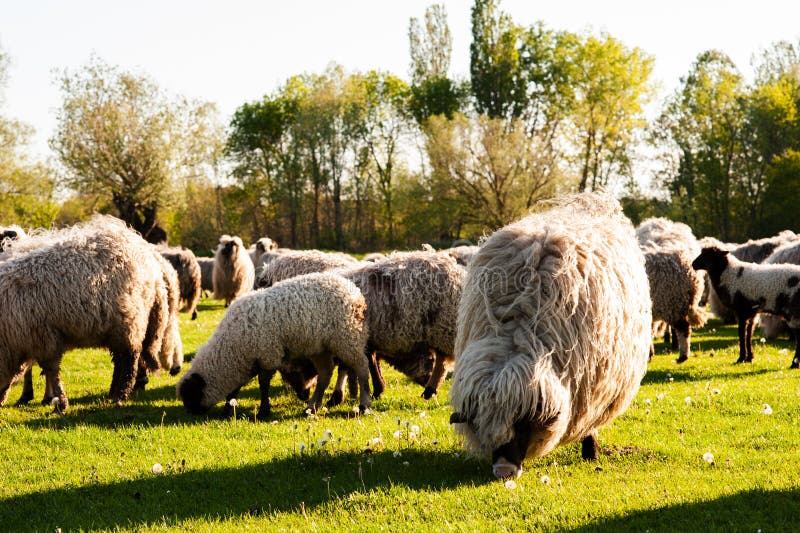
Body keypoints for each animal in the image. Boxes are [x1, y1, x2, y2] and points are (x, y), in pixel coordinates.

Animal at [0, 216, 176, 412]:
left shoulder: (44, 338)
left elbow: (51, 370)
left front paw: (60, 403)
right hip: (117, 326)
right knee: (120, 360)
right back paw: (113, 393)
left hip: (130, 320)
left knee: (129, 359)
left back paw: (120, 396)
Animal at [177, 273, 372, 417]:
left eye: (191, 394)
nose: (191, 413)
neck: (232, 345)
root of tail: (355, 293)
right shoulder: (248, 361)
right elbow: (238, 387)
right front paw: (228, 408)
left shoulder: (267, 353)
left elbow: (263, 384)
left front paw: (264, 410)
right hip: (320, 348)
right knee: (325, 374)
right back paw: (311, 407)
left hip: (348, 338)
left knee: (362, 367)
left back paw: (364, 404)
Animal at [449, 193, 652, 479]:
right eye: (484, 430)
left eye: (522, 425)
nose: (504, 471)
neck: (516, 337)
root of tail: (588, 203)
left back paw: (591, 451)